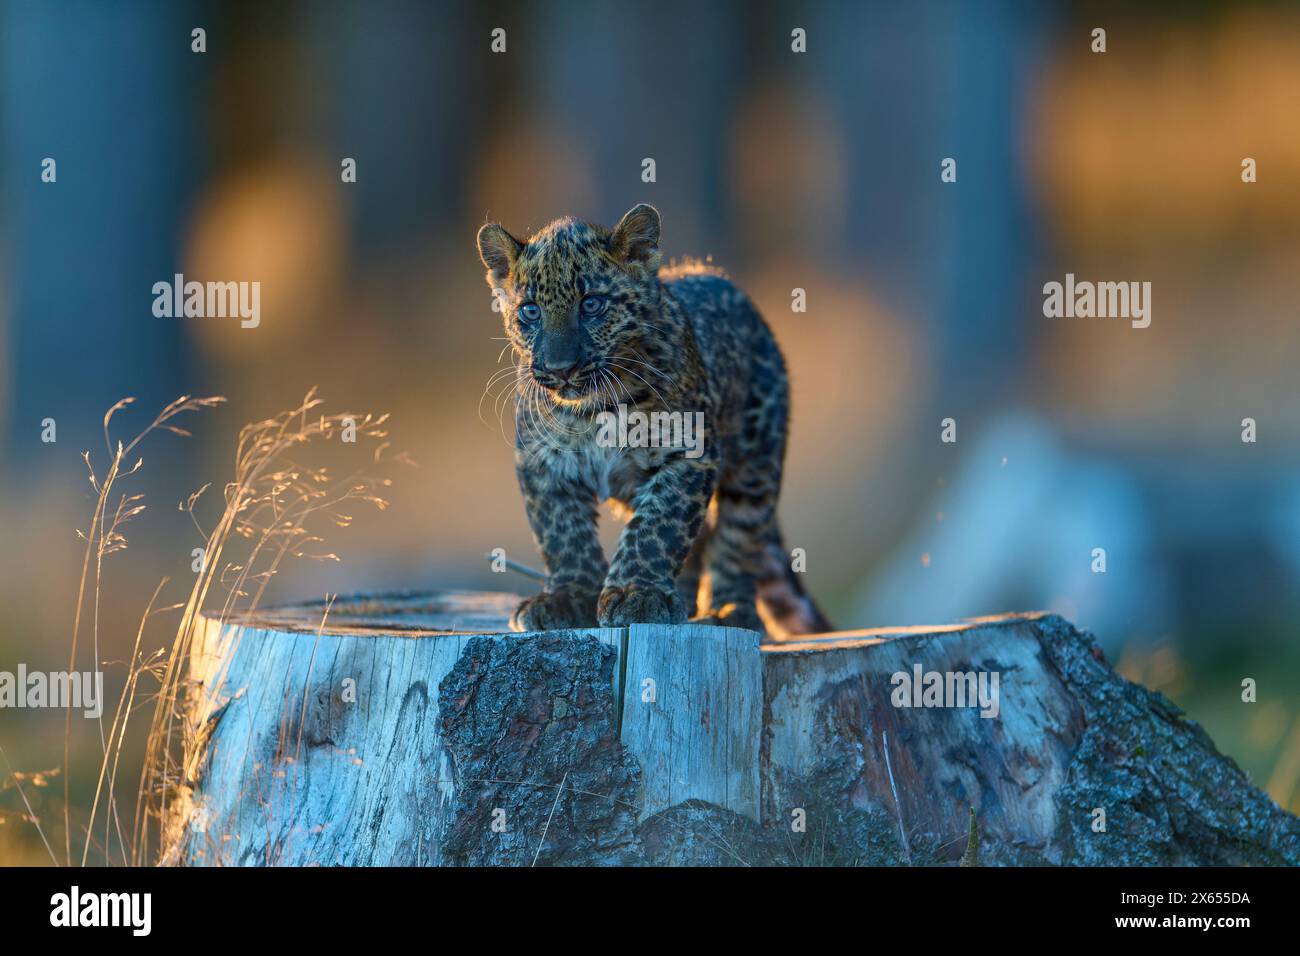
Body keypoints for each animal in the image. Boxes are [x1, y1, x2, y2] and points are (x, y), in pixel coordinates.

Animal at [477, 203, 832, 637]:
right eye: (530, 311)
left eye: (592, 304)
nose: (561, 368)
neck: (594, 409)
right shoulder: (543, 464)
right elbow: (563, 534)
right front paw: (567, 596)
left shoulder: (687, 454)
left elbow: (657, 527)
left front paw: (637, 594)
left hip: (755, 462)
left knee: (737, 536)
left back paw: (728, 610)